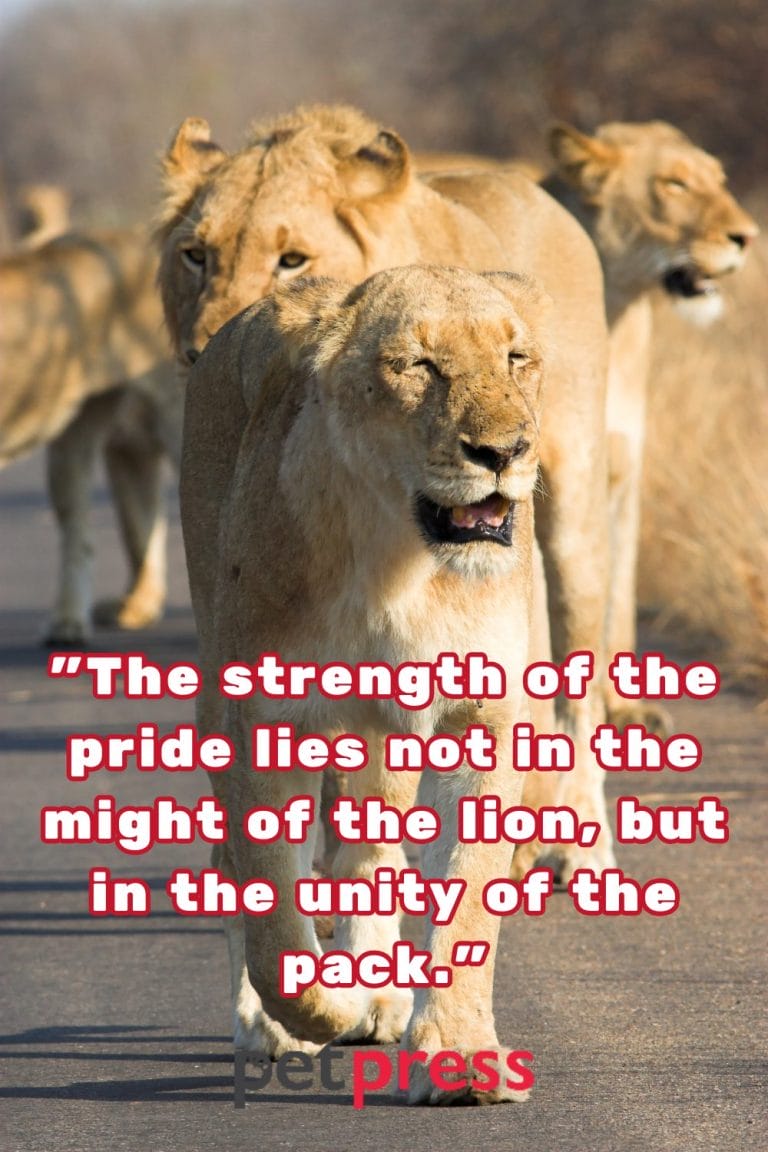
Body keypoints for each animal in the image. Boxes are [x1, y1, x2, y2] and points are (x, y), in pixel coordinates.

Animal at [182, 263, 557, 1103]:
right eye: (418, 367)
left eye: (516, 357)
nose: (506, 451)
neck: (400, 561)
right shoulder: (264, 721)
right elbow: (274, 914)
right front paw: (317, 1010)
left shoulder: (486, 718)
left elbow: (469, 897)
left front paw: (461, 1057)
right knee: (237, 867)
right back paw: (281, 1023)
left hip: (379, 731)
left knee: (370, 853)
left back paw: (378, 993)